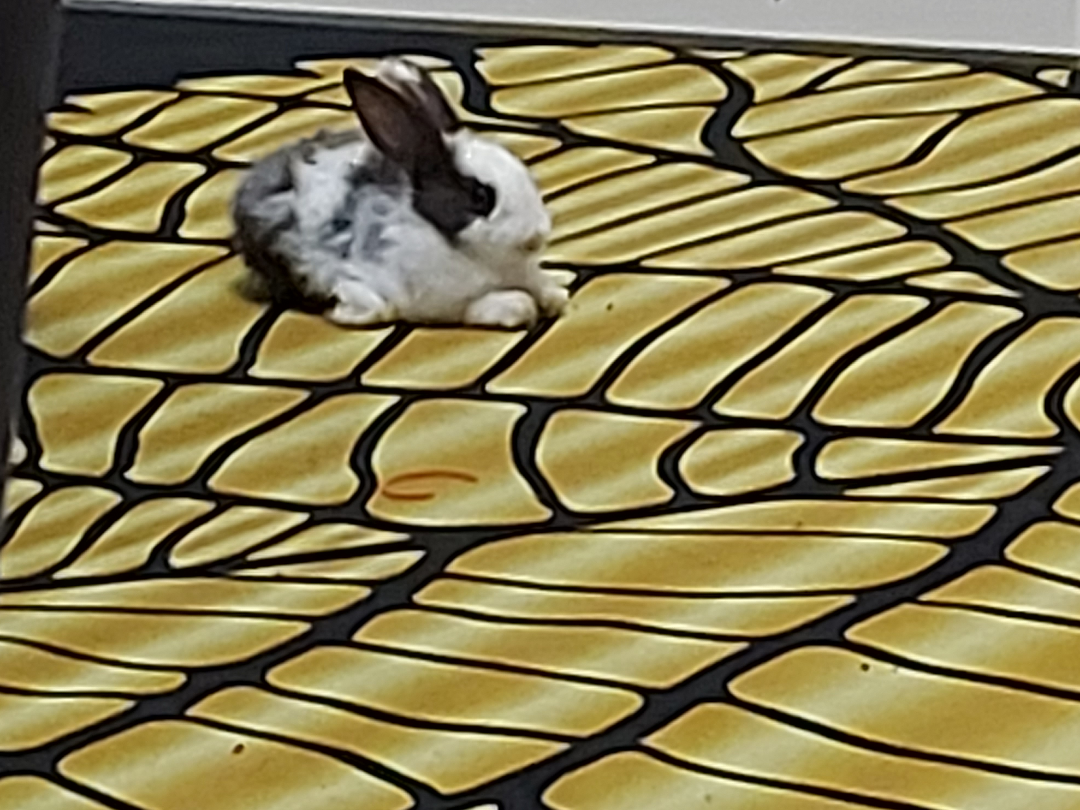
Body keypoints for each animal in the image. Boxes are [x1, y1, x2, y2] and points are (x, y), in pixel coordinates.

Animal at [232, 57, 569, 328]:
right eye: (480, 197)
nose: (538, 234)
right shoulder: (435, 302)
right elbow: (475, 307)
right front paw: (518, 307)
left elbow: (539, 284)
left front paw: (555, 296)